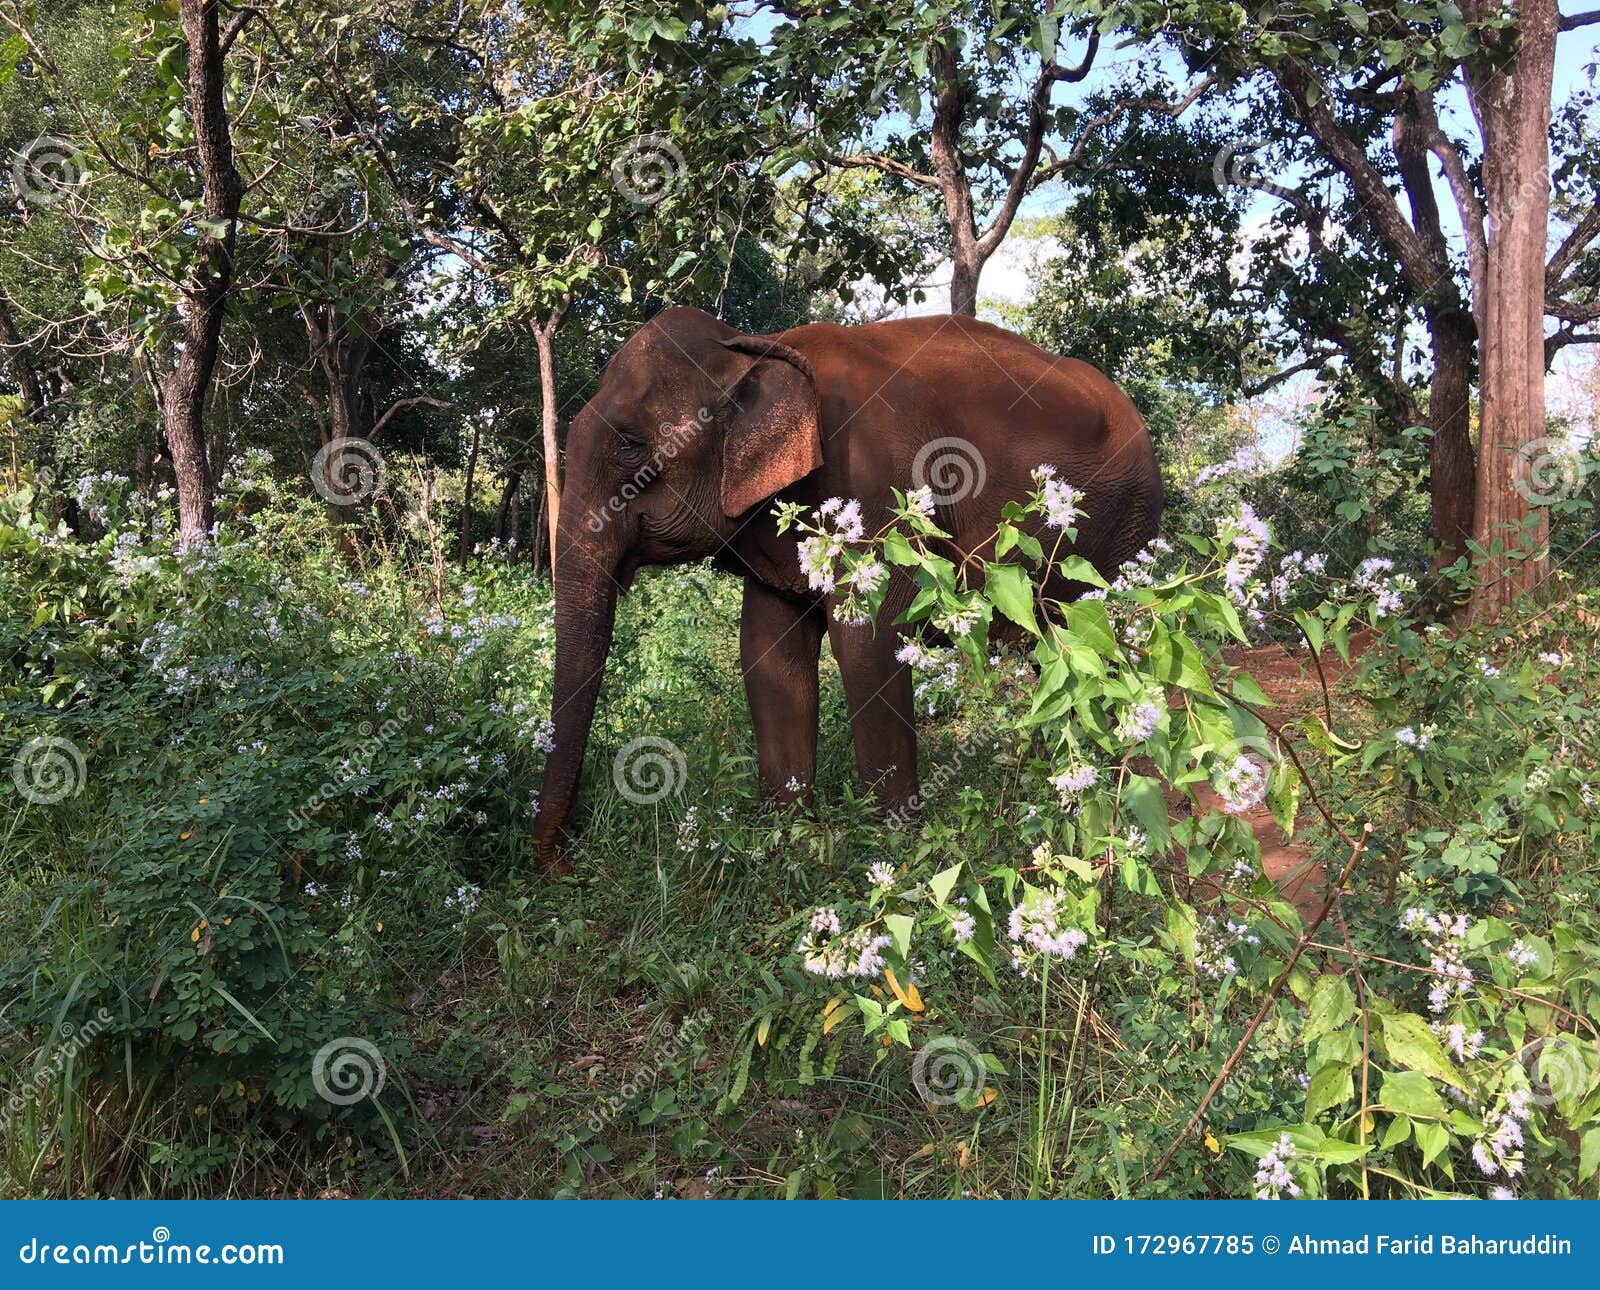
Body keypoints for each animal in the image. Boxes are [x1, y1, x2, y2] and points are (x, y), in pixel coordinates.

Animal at [532, 306, 1162, 875]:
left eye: (629, 445)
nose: (561, 867)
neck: (754, 345)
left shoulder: (875, 483)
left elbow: (868, 641)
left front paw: (893, 849)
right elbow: (768, 650)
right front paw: (785, 836)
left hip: (1122, 532)